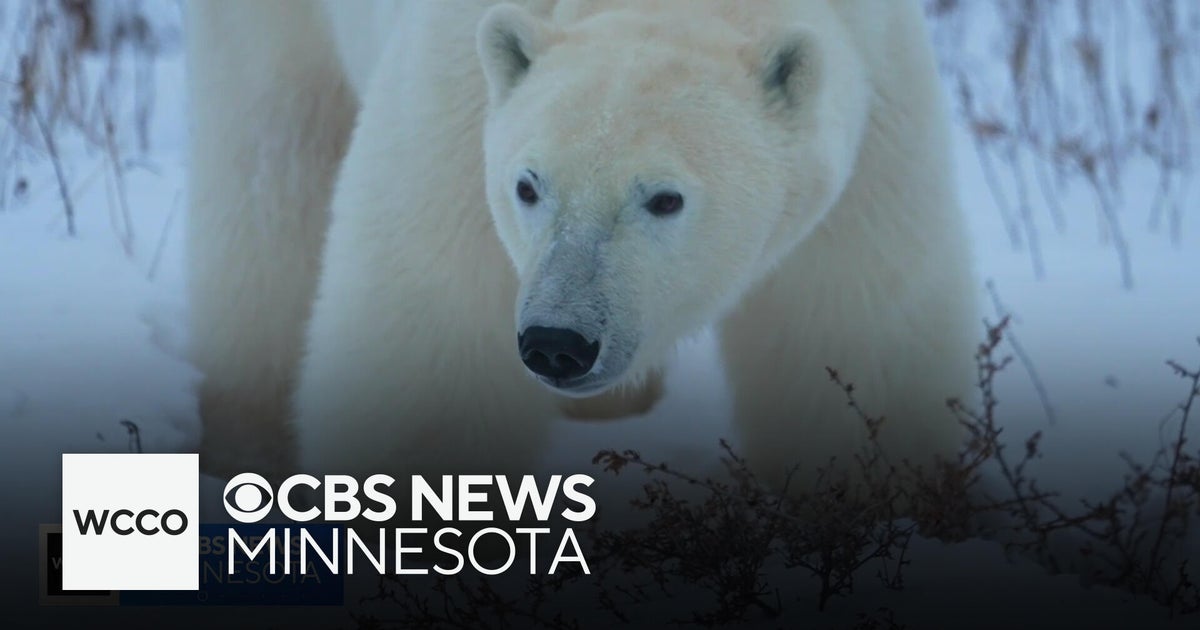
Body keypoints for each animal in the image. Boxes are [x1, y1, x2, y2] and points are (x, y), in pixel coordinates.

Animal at [184, 0, 978, 495]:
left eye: (664, 198)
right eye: (528, 186)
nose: (557, 343)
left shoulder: (873, 122)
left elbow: (854, 329)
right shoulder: (458, 108)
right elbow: (429, 328)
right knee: (274, 157)